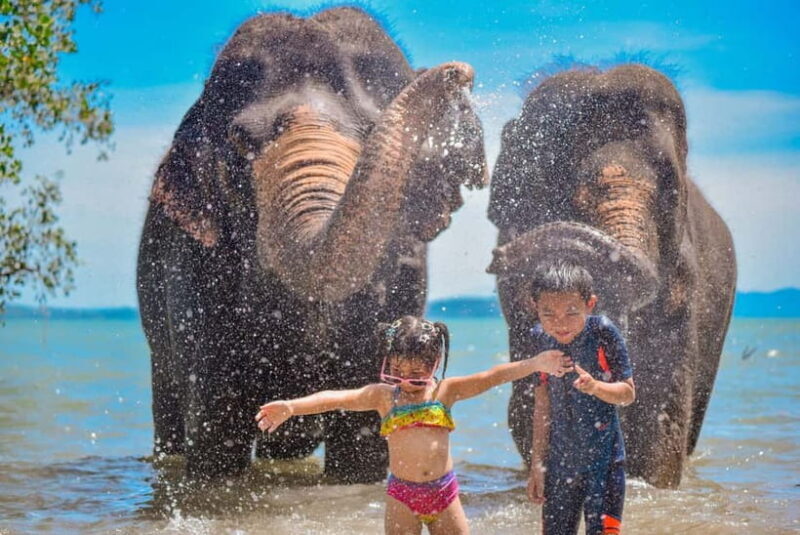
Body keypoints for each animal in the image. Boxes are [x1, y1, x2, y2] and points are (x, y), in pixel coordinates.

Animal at [136, 7, 487, 482]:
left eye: (371, 129)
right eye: (240, 141)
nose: (460, 73)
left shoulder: (404, 272)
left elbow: (362, 437)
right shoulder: (192, 271)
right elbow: (215, 431)